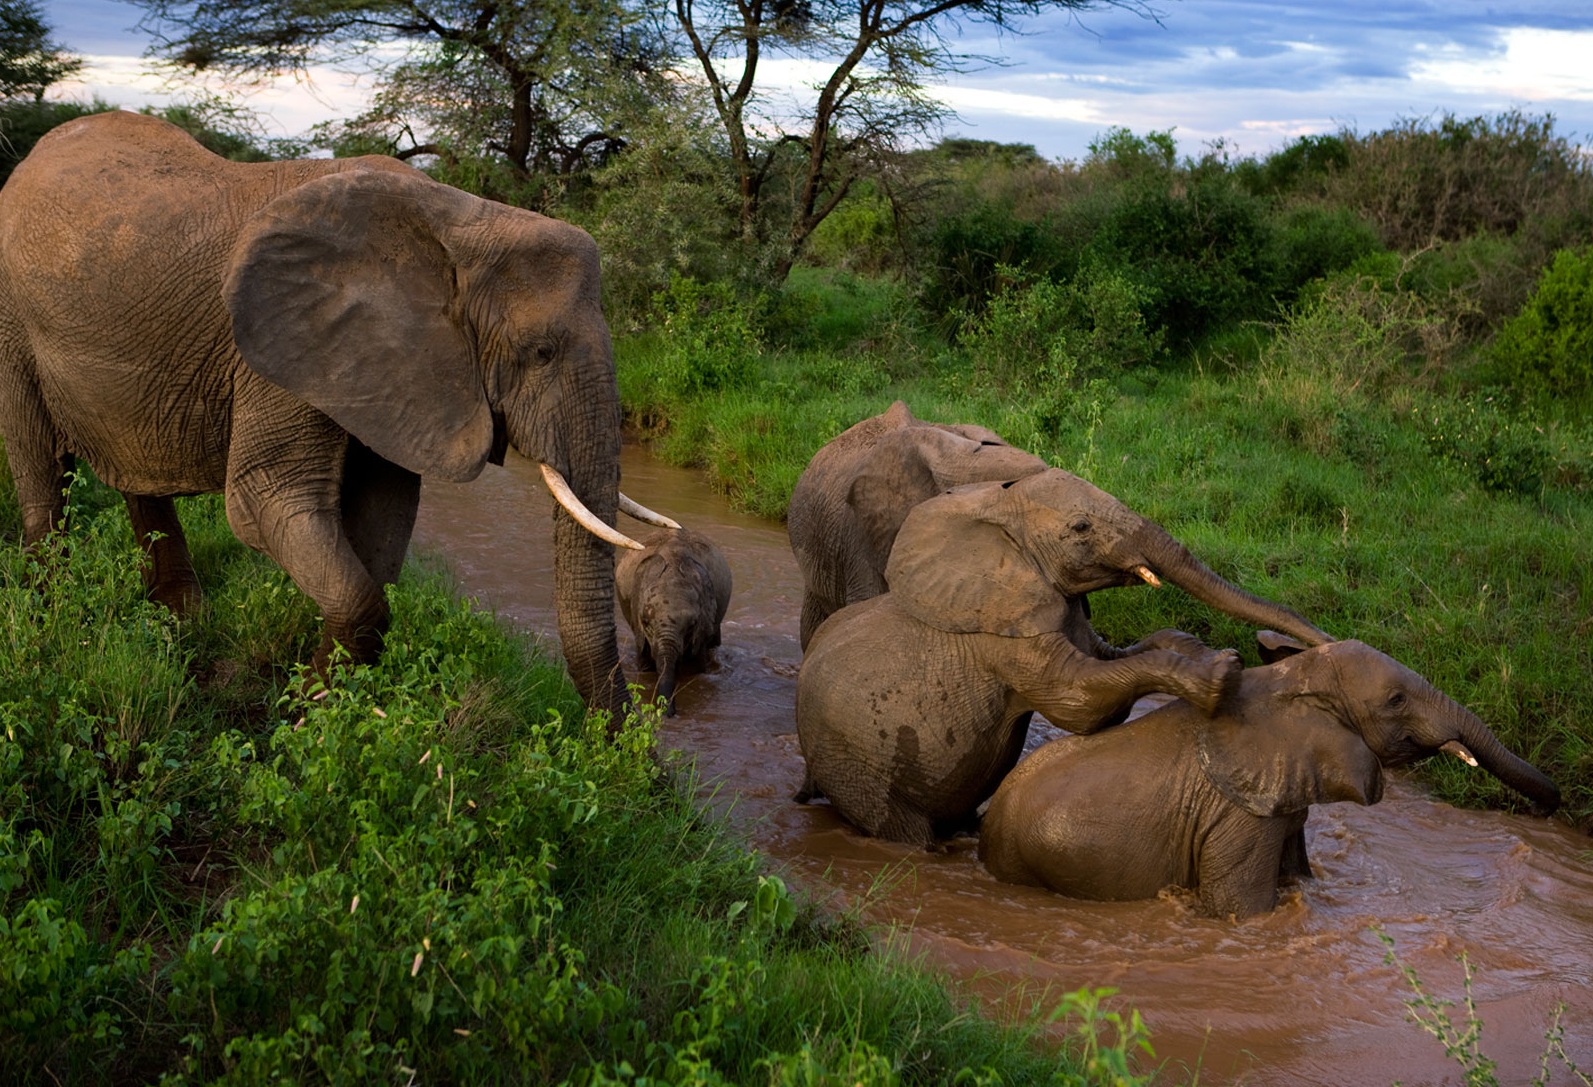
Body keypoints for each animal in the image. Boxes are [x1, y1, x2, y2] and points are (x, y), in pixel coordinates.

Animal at [0, 110, 674, 720]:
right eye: (539, 353)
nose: (628, 743)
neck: (461, 223)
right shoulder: (286, 353)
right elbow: (266, 501)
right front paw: (302, 713)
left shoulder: (389, 372)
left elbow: (383, 519)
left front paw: (320, 705)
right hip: (13, 323)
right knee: (41, 468)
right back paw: (51, 617)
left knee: (136, 476)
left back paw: (180, 620)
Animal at [795, 468, 1337, 847]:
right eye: (1080, 527)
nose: (1322, 642)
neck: (997, 509)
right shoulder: (1003, 630)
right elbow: (1079, 703)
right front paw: (1221, 674)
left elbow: (1112, 655)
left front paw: (1196, 648)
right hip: (858, 766)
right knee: (901, 829)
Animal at [978, 636, 1562, 919]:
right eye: (1396, 700)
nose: (1549, 806)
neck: (1291, 677)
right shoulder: (1238, 812)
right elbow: (1243, 910)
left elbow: (1298, 877)